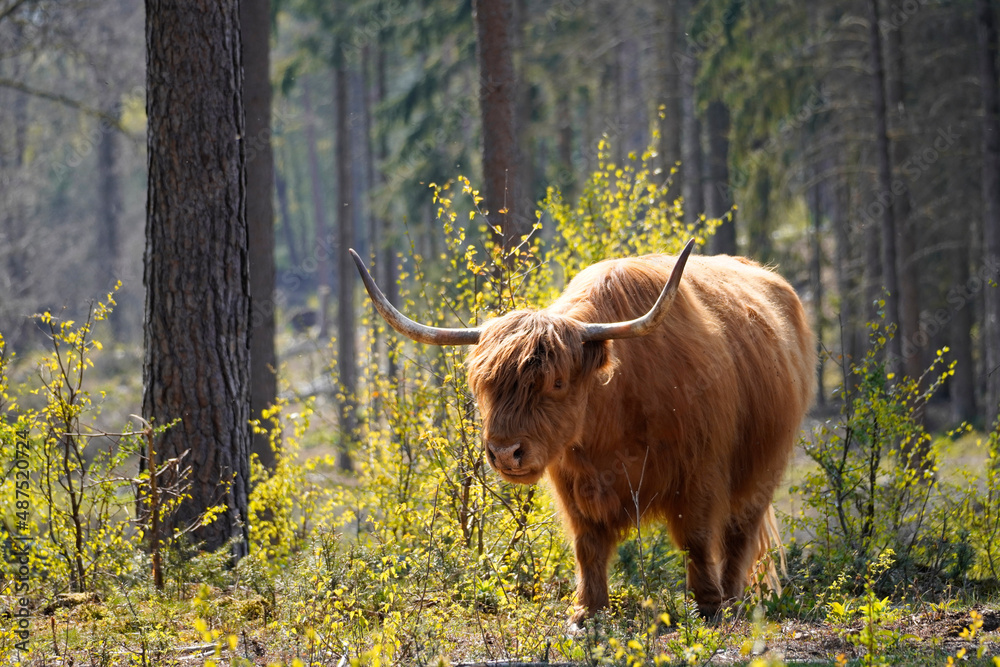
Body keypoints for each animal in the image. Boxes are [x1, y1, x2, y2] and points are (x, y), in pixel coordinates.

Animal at [349, 240, 815, 623]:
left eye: (556, 383)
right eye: (483, 383)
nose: (504, 453)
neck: (614, 415)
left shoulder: (699, 472)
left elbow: (697, 540)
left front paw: (709, 608)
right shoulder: (573, 482)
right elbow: (588, 545)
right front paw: (586, 612)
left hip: (764, 470)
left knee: (739, 534)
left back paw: (733, 601)